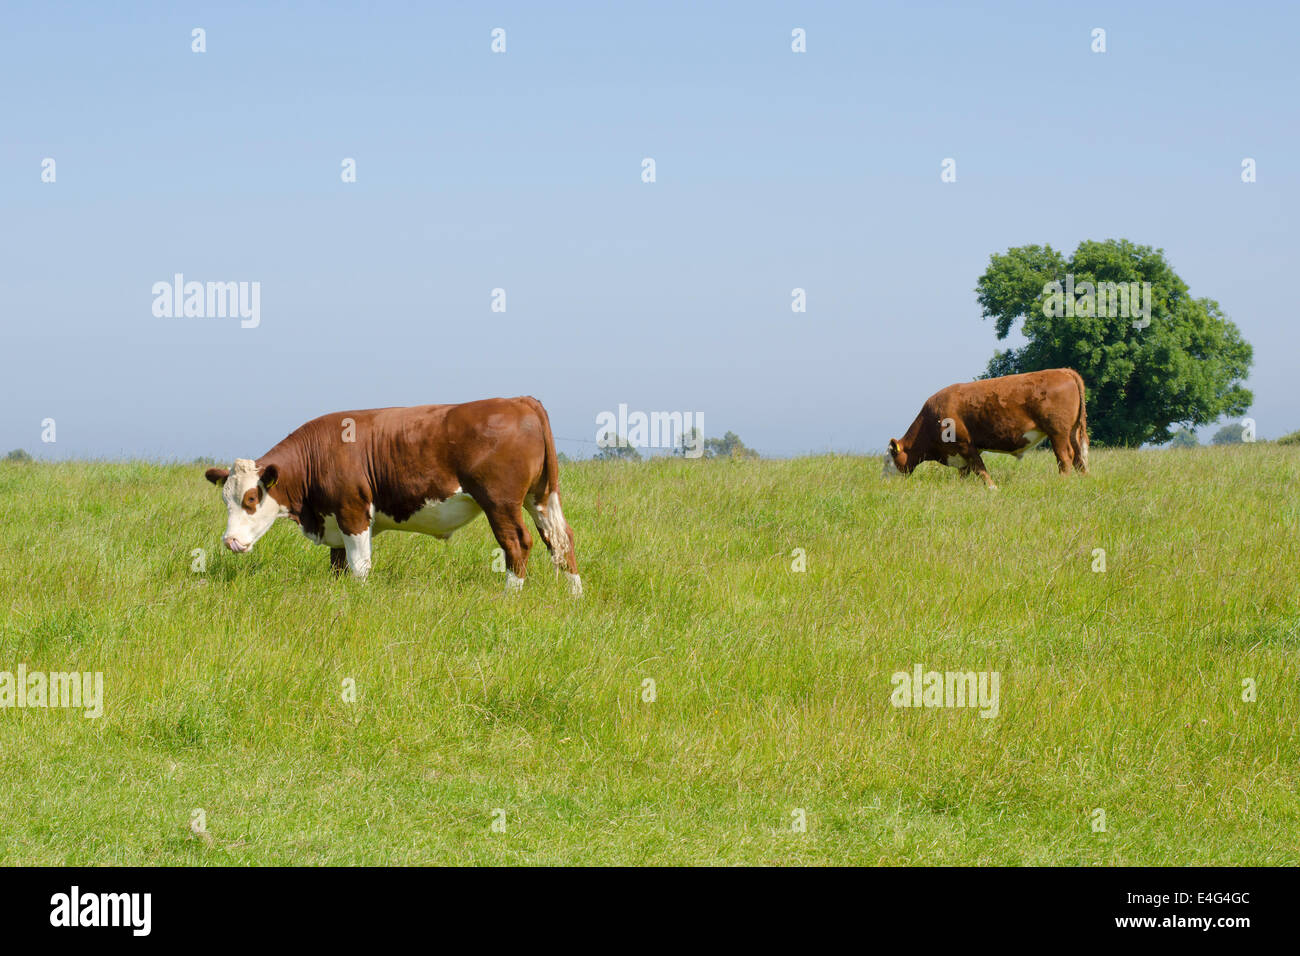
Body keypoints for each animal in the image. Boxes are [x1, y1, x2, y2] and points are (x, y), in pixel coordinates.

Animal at [203, 396, 582, 596]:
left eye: (252, 499)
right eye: (225, 500)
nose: (230, 541)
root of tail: (519, 400)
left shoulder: (353, 513)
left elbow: (359, 565)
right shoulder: (334, 518)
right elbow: (338, 565)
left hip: (500, 501)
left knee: (517, 543)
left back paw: (510, 596)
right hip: (541, 496)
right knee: (560, 539)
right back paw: (574, 594)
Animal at [882, 368, 1089, 490]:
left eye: (888, 460)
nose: (883, 480)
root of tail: (1064, 371)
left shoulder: (965, 445)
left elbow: (979, 468)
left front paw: (992, 488)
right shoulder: (964, 451)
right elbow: (965, 472)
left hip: (1058, 432)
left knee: (1065, 458)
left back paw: (1062, 484)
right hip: (1073, 432)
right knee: (1079, 459)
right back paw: (1085, 481)